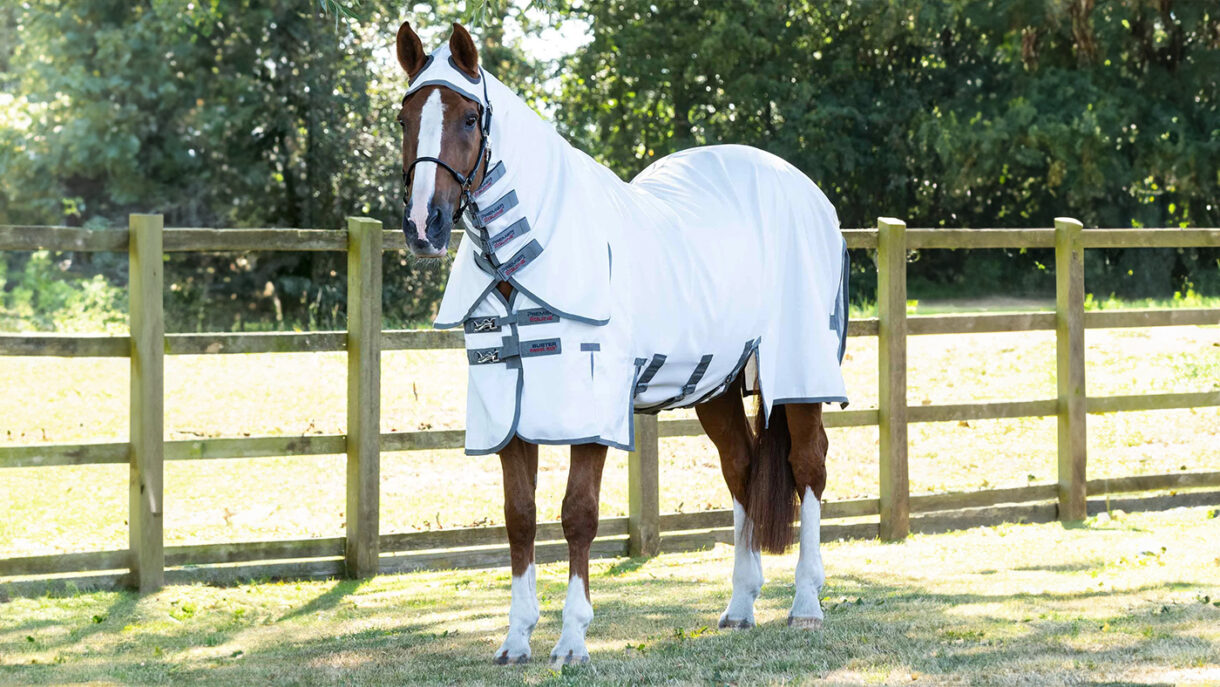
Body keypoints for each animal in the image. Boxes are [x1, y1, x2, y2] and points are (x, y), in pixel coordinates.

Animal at [393, 22, 850, 667]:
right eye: (405, 117)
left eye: (468, 118)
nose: (423, 226)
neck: (524, 263)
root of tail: (808, 192)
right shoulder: (507, 409)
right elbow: (519, 516)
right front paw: (515, 639)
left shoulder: (589, 410)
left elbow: (577, 515)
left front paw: (571, 640)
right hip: (715, 385)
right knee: (740, 469)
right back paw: (740, 606)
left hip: (799, 371)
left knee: (808, 465)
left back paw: (806, 604)